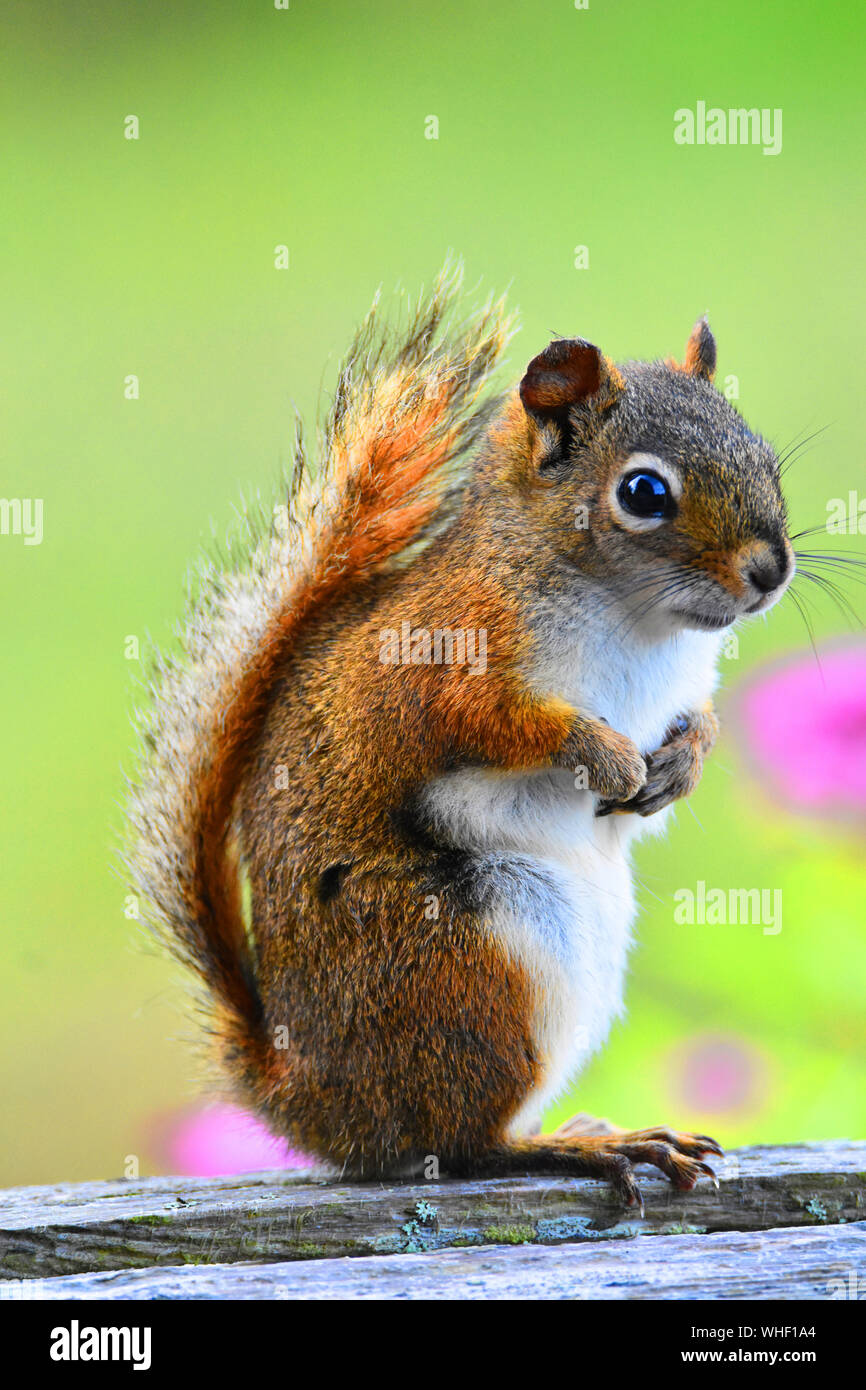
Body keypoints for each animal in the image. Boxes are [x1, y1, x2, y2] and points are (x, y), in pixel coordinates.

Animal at [125, 268, 795, 1206]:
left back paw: (585, 1128)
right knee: (464, 1141)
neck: (637, 619)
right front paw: (604, 756)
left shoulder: (683, 685)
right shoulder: (436, 663)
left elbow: (697, 722)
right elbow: (498, 724)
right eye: (644, 493)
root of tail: (311, 1101)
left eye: (764, 457)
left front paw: (681, 763)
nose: (773, 570)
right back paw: (581, 1148)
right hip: (476, 955)